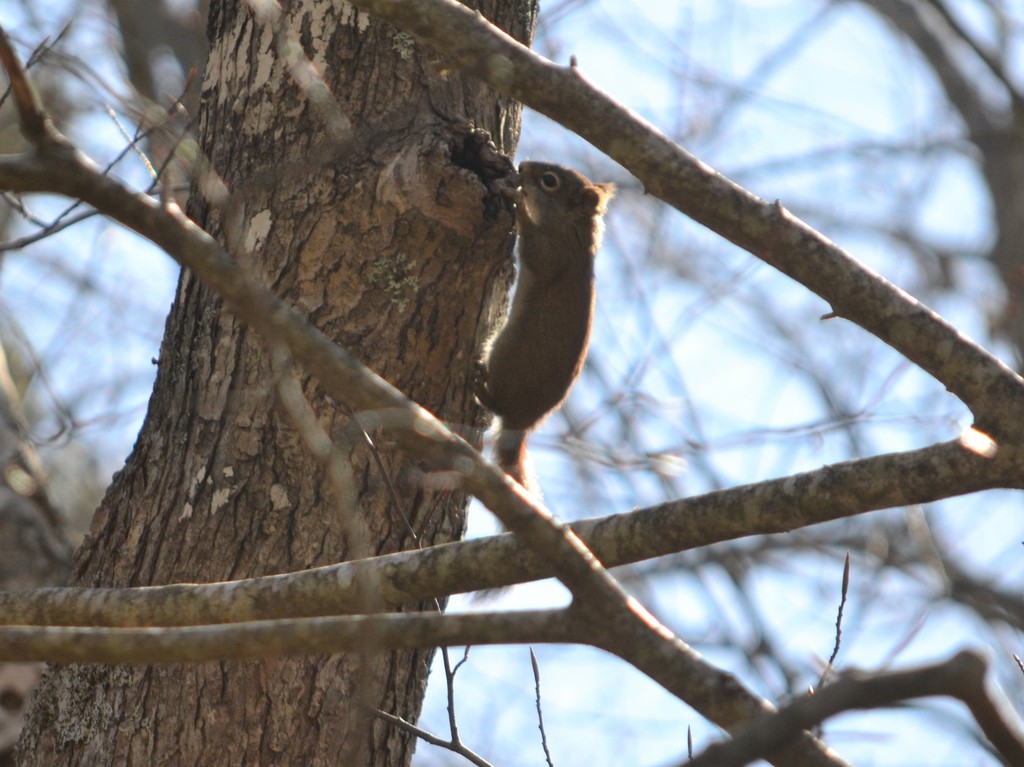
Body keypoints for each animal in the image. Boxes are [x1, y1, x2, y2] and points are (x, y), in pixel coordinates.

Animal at [475, 161, 616, 490]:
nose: (522, 166)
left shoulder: (551, 253)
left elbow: (531, 248)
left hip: (506, 357)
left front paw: (519, 204)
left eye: (549, 181)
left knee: (497, 405)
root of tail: (521, 424)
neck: (573, 233)